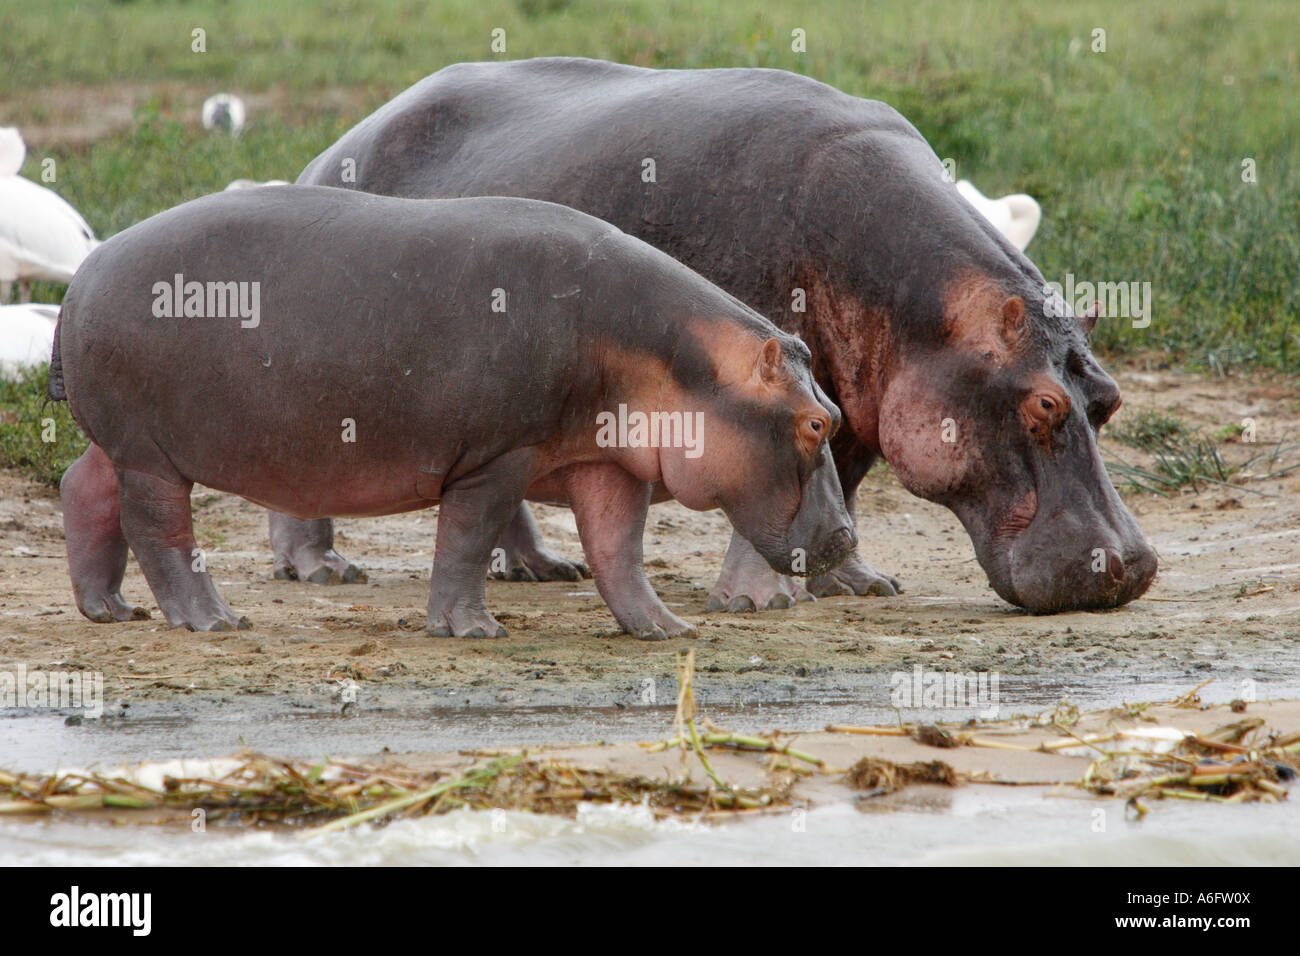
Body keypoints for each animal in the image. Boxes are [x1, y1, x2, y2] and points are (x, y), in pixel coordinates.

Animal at [50, 186, 855, 637]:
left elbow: (618, 552)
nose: (847, 537)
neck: (676, 355)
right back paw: (212, 620)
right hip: (152, 455)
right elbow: (468, 540)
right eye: (817, 424)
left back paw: (107, 610)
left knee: (82, 487)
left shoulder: (605, 462)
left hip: (120, 443)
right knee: (158, 531)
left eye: (834, 412)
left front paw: (664, 630)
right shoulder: (499, 456)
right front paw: (472, 631)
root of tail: (85, 271)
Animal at [274, 57, 1157, 614]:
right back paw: (325, 572)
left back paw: (541, 570)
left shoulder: (860, 392)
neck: (922, 312)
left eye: (1108, 399)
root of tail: (335, 147)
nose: (1134, 568)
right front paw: (758, 600)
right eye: (1044, 405)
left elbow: (845, 478)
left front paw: (858, 583)